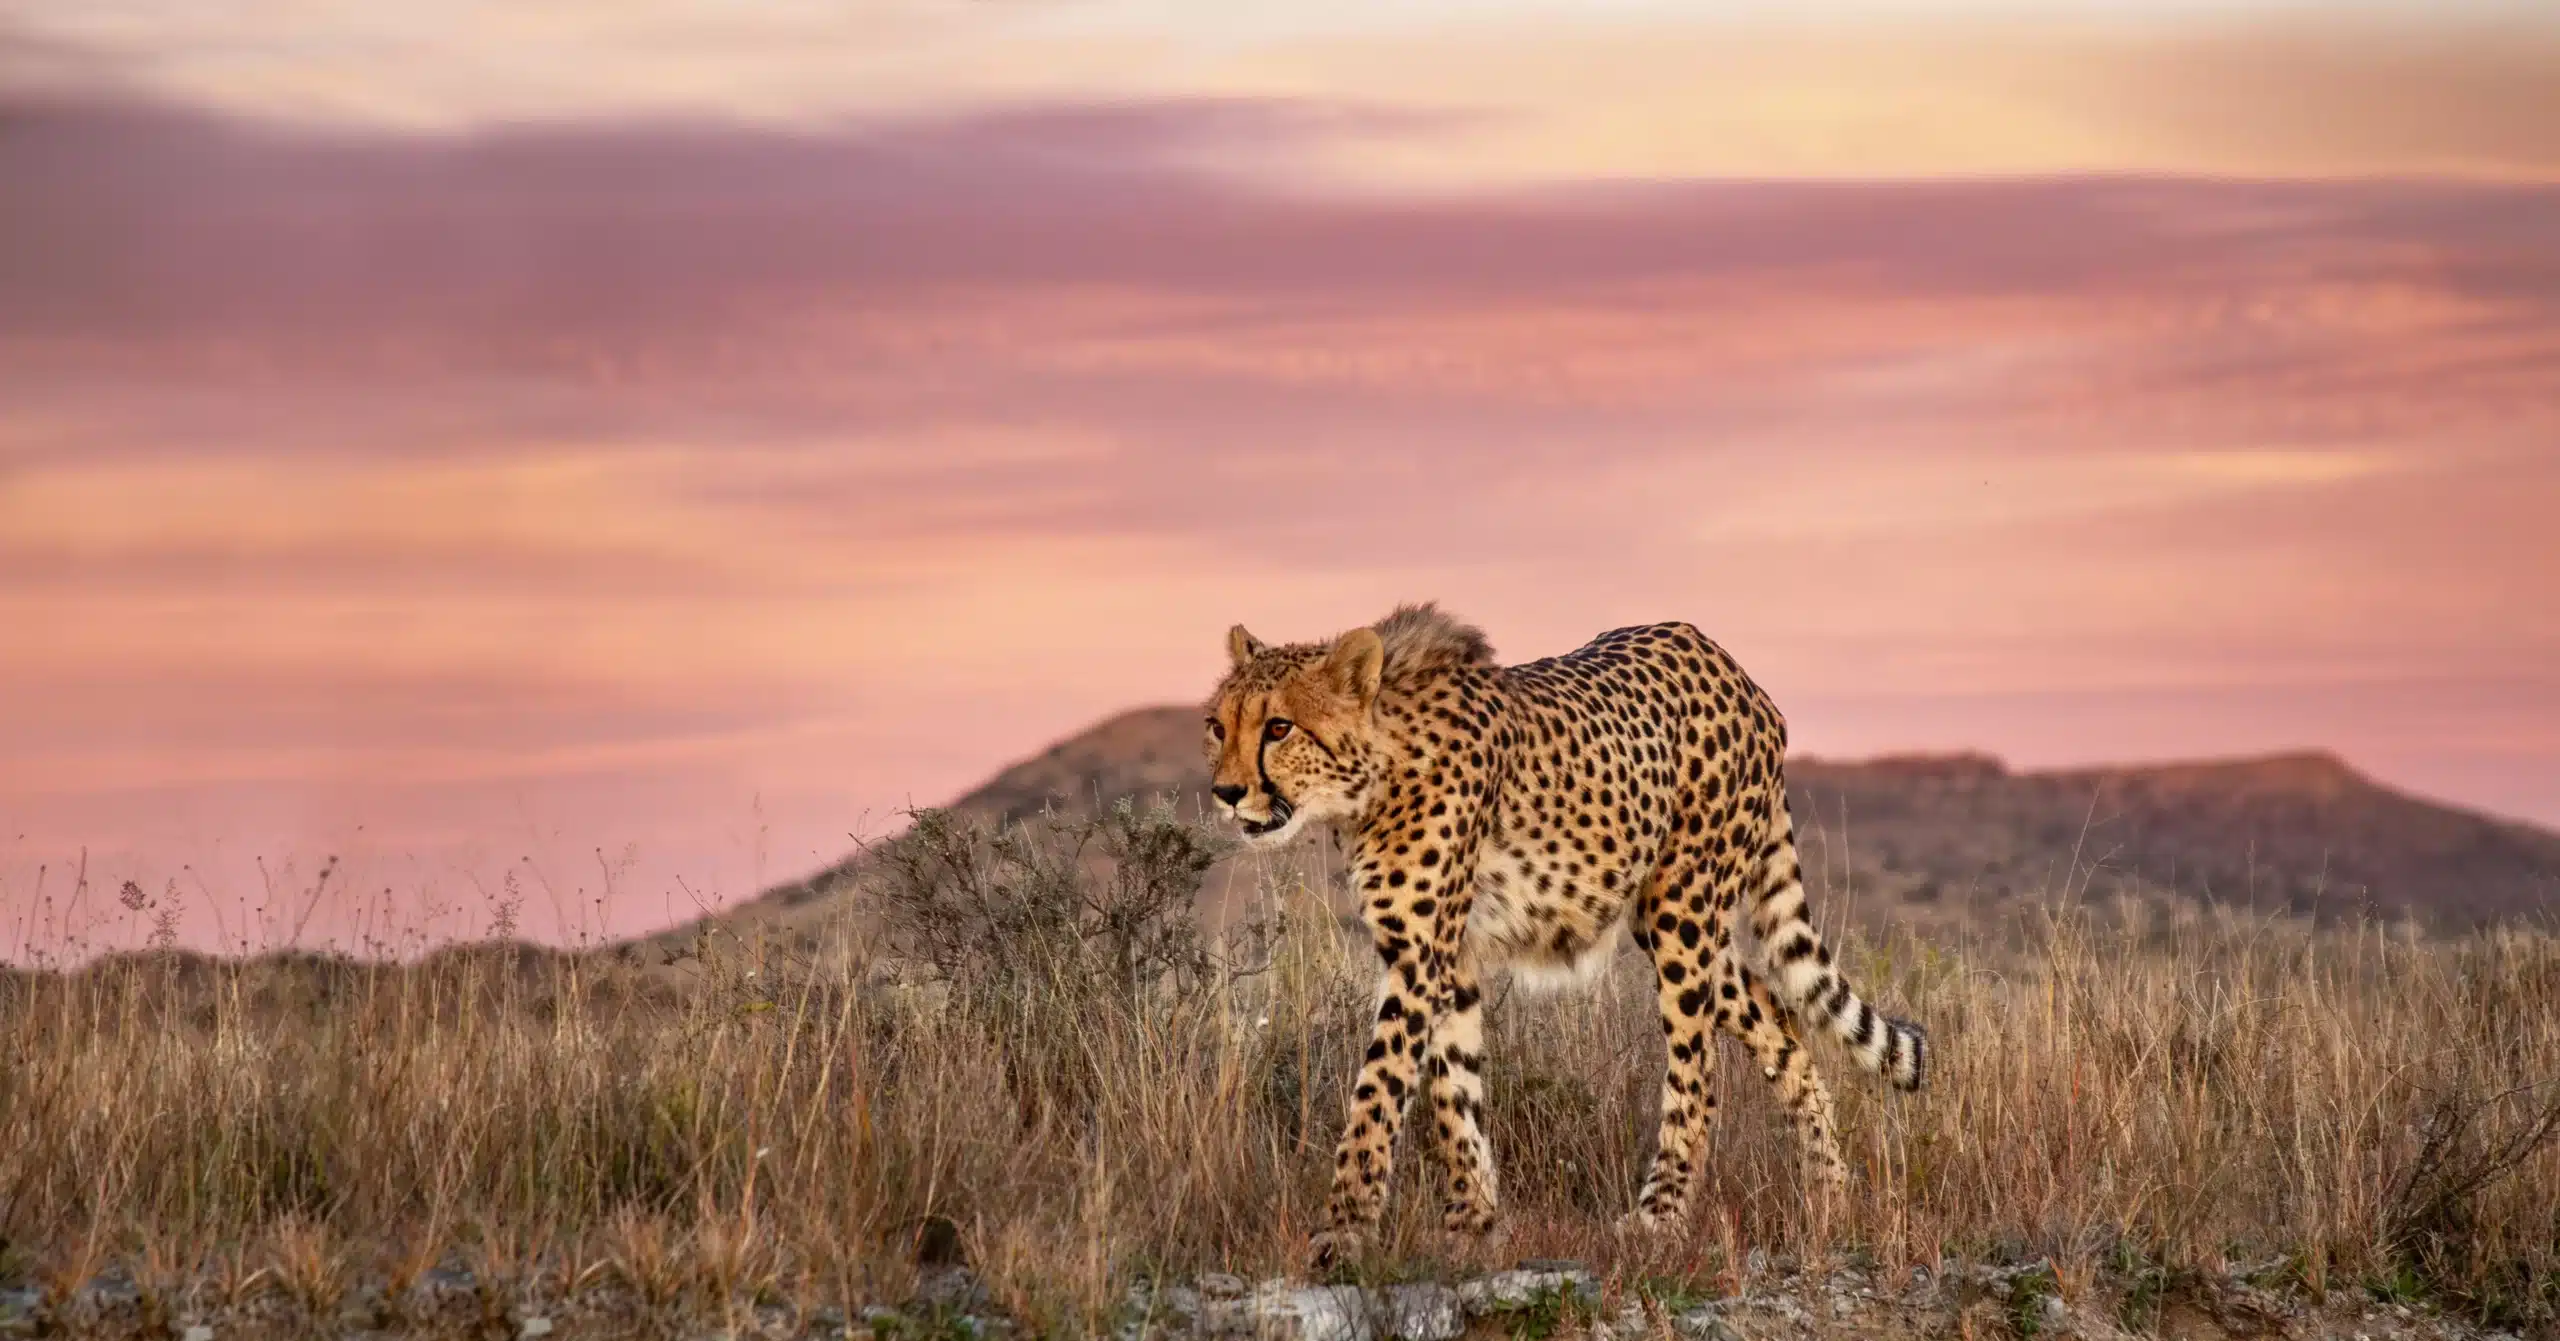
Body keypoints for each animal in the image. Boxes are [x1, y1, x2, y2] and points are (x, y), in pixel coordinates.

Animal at [1202, 602, 1927, 1267]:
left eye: (1279, 726)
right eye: (1217, 725)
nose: (1227, 793)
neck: (1377, 768)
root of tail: (1729, 664)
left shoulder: (1420, 955)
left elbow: (1377, 1091)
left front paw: (1343, 1230)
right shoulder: (1449, 956)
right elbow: (1451, 1088)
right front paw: (1472, 1223)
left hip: (1682, 912)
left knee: (1697, 1068)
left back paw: (1661, 1217)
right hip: (1674, 920)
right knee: (1777, 1016)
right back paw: (1829, 1193)